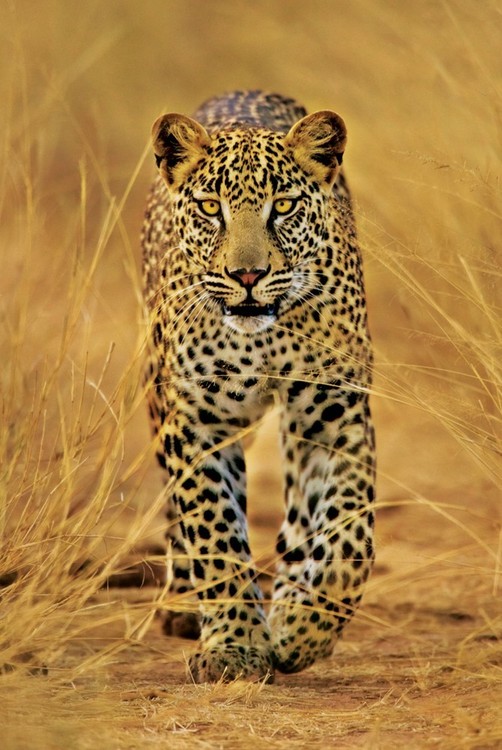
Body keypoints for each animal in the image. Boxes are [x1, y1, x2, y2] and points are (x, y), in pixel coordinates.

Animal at [141, 90, 375, 683]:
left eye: (284, 206)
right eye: (210, 208)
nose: (247, 275)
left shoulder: (333, 416)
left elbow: (350, 538)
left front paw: (300, 629)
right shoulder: (197, 422)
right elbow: (214, 534)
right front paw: (233, 646)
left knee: (300, 519)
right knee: (177, 513)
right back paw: (182, 603)